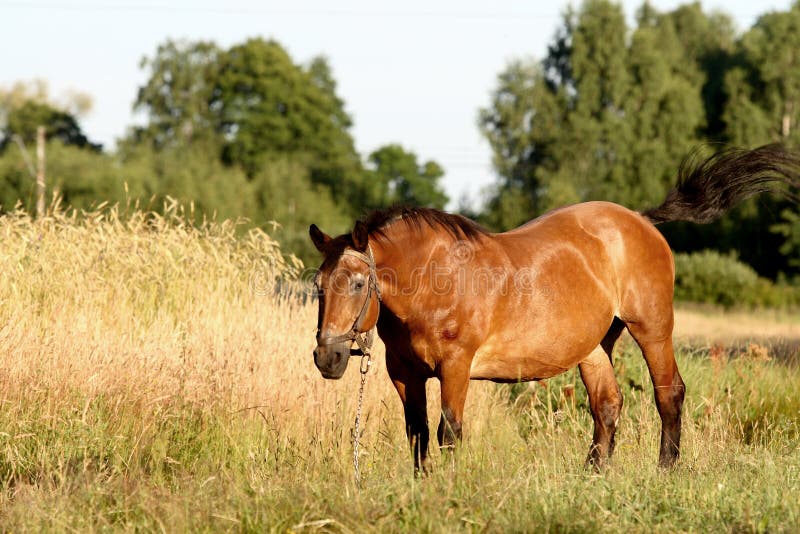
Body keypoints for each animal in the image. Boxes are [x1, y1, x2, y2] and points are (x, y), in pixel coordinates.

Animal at [309, 144, 800, 473]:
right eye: (318, 286)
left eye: (358, 283)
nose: (327, 358)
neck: (436, 279)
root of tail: (642, 221)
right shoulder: (404, 374)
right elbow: (418, 433)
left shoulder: (455, 367)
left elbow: (450, 431)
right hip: (595, 345)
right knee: (607, 404)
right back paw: (594, 474)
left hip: (652, 328)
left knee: (669, 394)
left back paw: (665, 470)